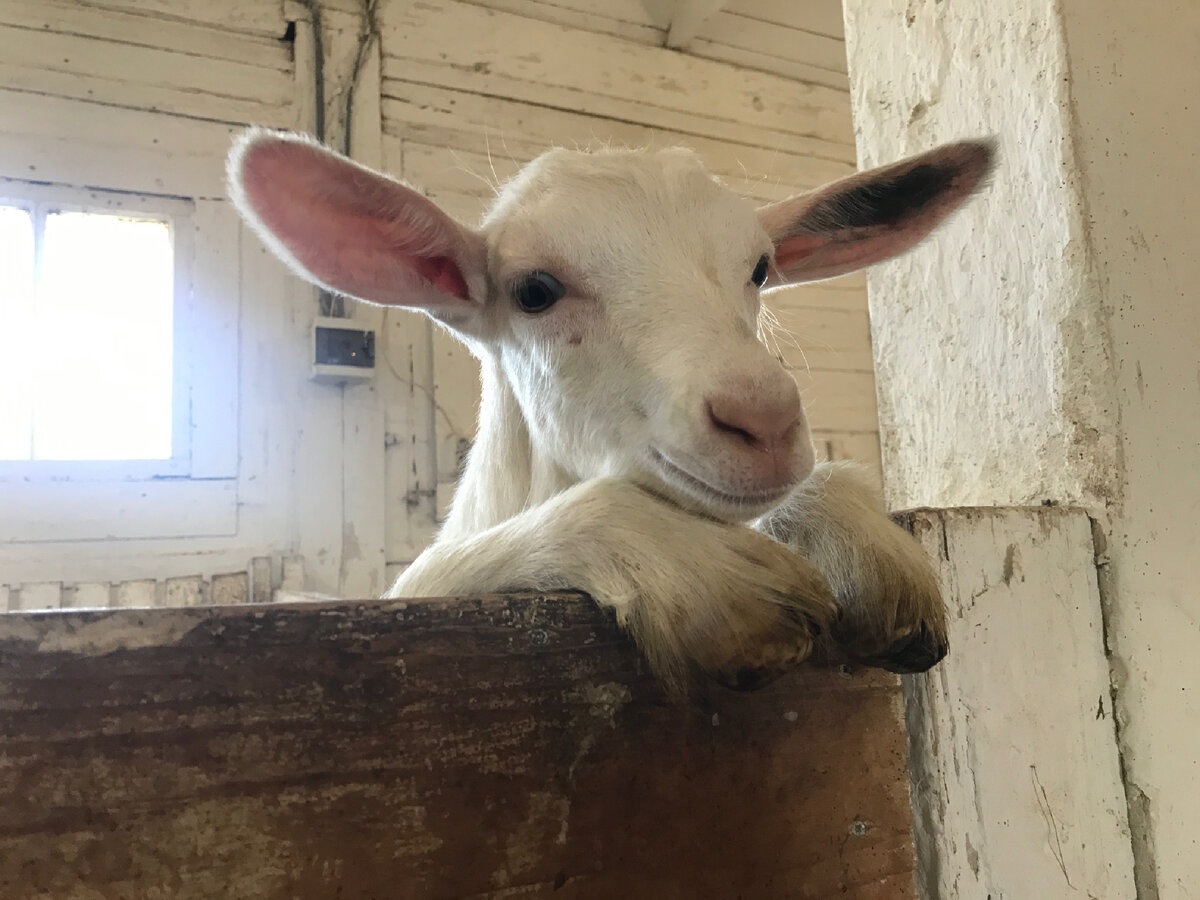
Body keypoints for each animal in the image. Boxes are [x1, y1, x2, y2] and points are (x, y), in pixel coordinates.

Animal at [226, 133, 993, 696]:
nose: (765, 423)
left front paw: (861, 546)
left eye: (759, 269)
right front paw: (706, 572)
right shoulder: (417, 590)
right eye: (534, 290)